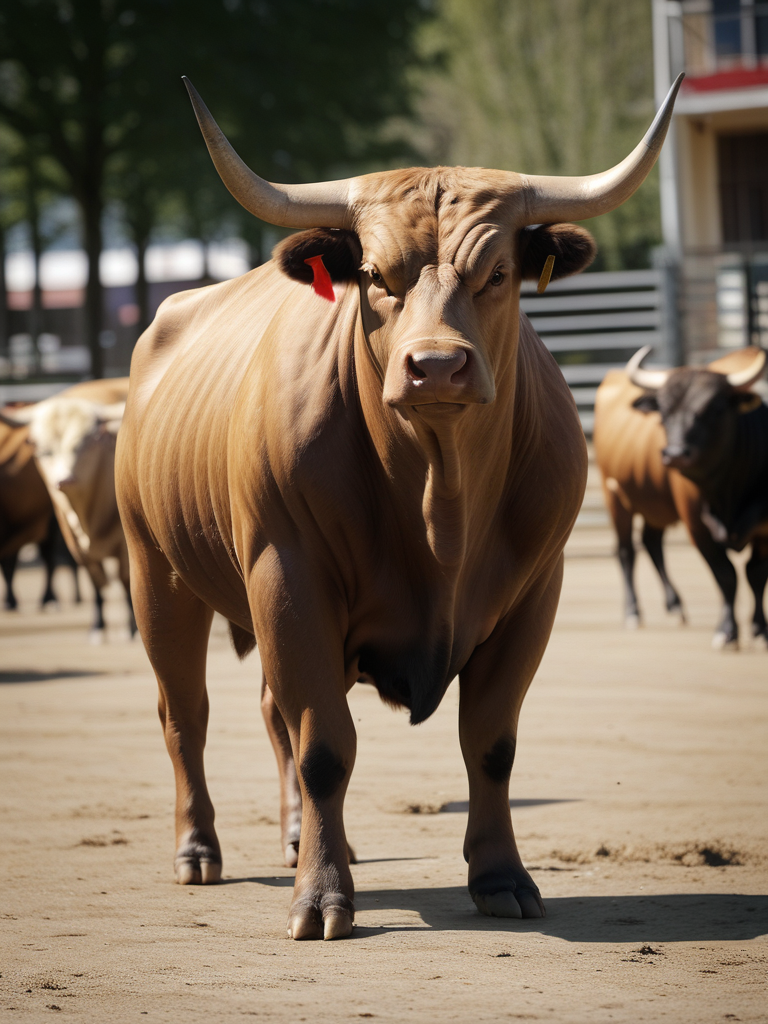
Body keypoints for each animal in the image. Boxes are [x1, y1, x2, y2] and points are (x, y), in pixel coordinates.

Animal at [10, 379, 136, 640]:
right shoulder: (75, 545)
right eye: (41, 448)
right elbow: (96, 584)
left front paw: (132, 629)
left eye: (88, 442)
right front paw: (97, 627)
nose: (64, 480)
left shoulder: (125, 545)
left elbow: (126, 580)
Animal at [115, 74, 683, 940]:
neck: (438, 504)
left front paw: (501, 875)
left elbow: (490, 744)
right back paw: (199, 849)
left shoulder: (533, 595)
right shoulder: (290, 577)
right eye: (378, 276)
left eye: (497, 274)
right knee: (188, 713)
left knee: (272, 714)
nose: (437, 366)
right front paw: (322, 896)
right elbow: (324, 746)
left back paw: (300, 839)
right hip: (159, 578)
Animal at [623, 345, 768, 648]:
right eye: (663, 411)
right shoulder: (697, 527)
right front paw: (726, 631)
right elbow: (725, 575)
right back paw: (634, 612)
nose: (676, 454)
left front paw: (760, 630)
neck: (727, 493)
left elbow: (756, 574)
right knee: (627, 550)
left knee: (649, 542)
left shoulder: (764, 528)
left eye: (715, 409)